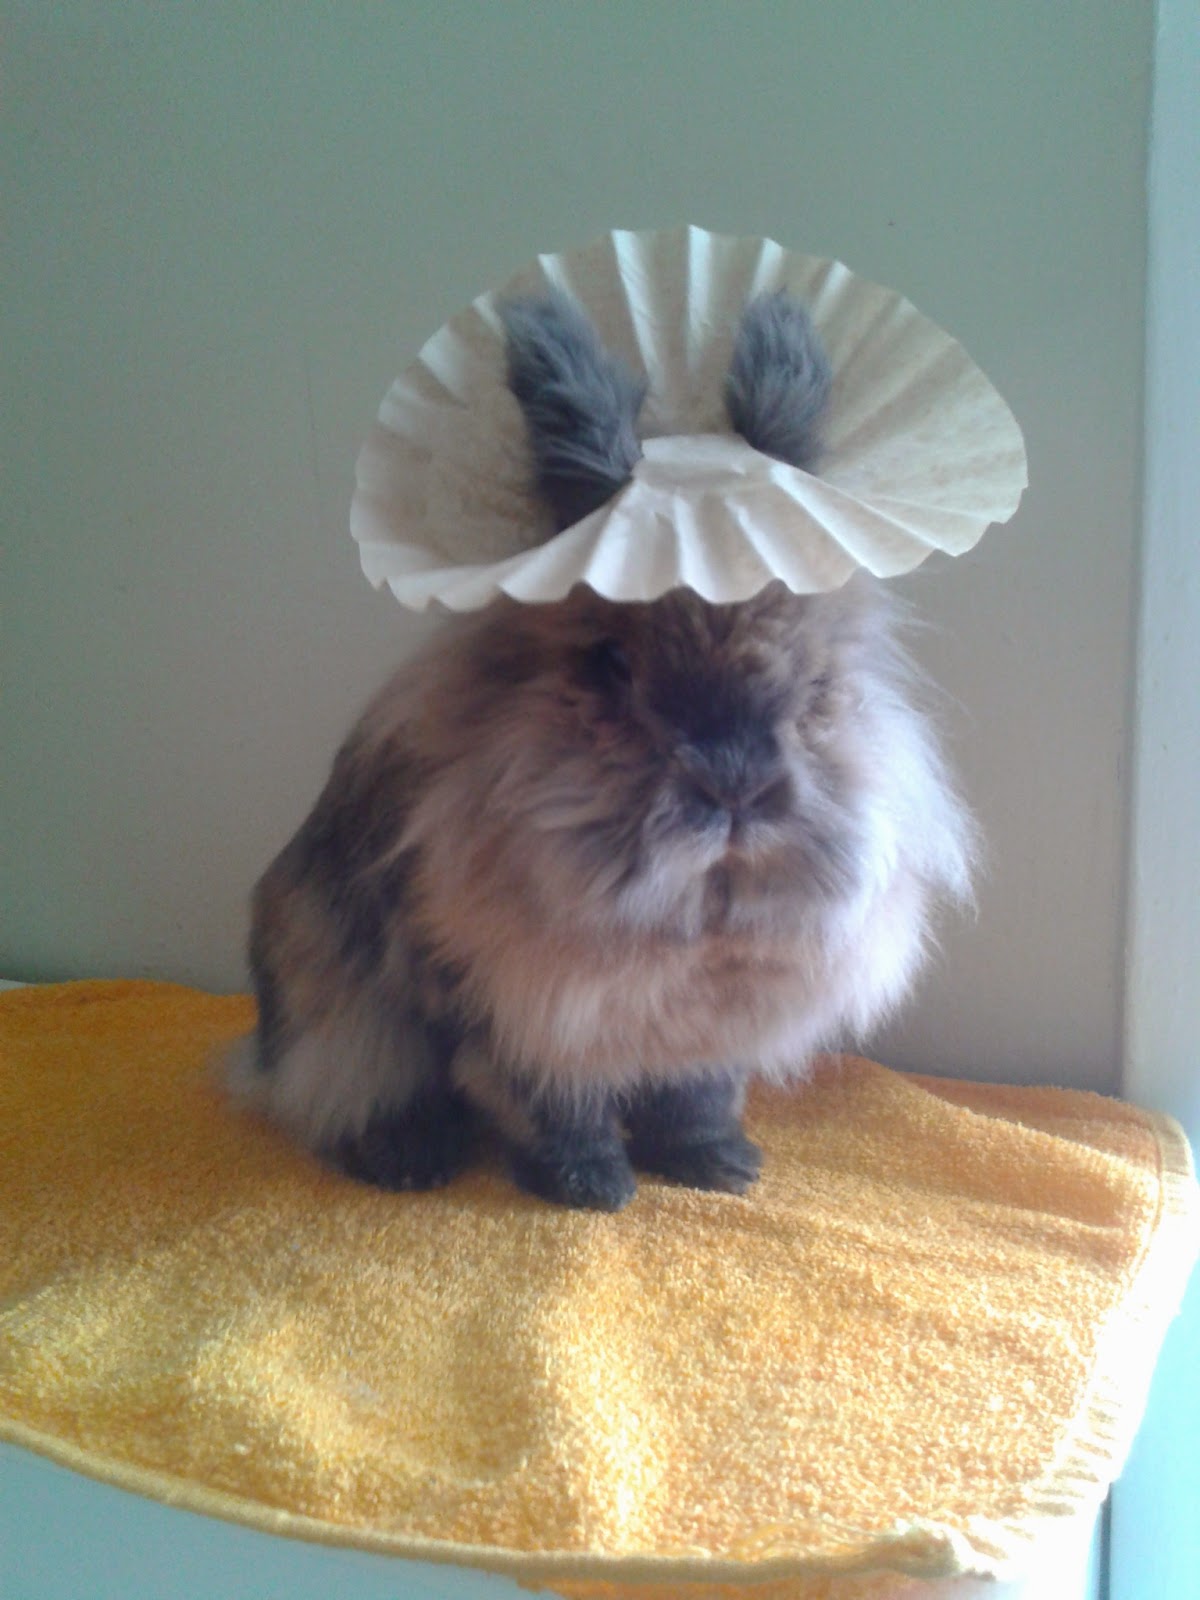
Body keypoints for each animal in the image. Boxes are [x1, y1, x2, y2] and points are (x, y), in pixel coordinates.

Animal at [230, 290, 976, 1211]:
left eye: (818, 675)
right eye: (609, 663)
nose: (737, 788)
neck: (693, 916)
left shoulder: (705, 1032)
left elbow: (696, 1099)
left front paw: (720, 1168)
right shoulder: (514, 1016)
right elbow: (549, 1105)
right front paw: (592, 1188)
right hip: (339, 1015)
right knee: (337, 1096)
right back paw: (412, 1158)